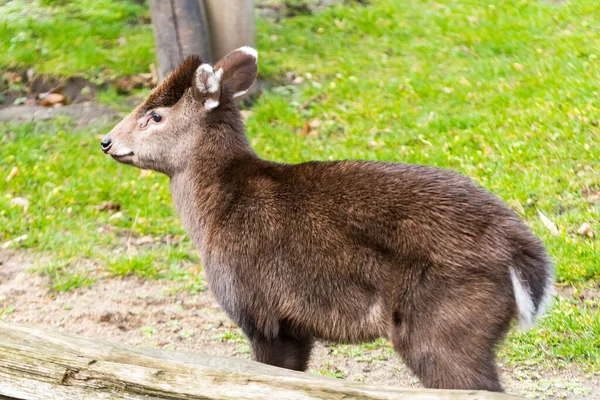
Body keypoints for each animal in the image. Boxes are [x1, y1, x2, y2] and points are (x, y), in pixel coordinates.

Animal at [102, 47, 552, 394]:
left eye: (155, 114)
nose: (106, 140)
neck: (215, 216)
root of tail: (527, 258)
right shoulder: (293, 324)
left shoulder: (260, 310)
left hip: (441, 325)